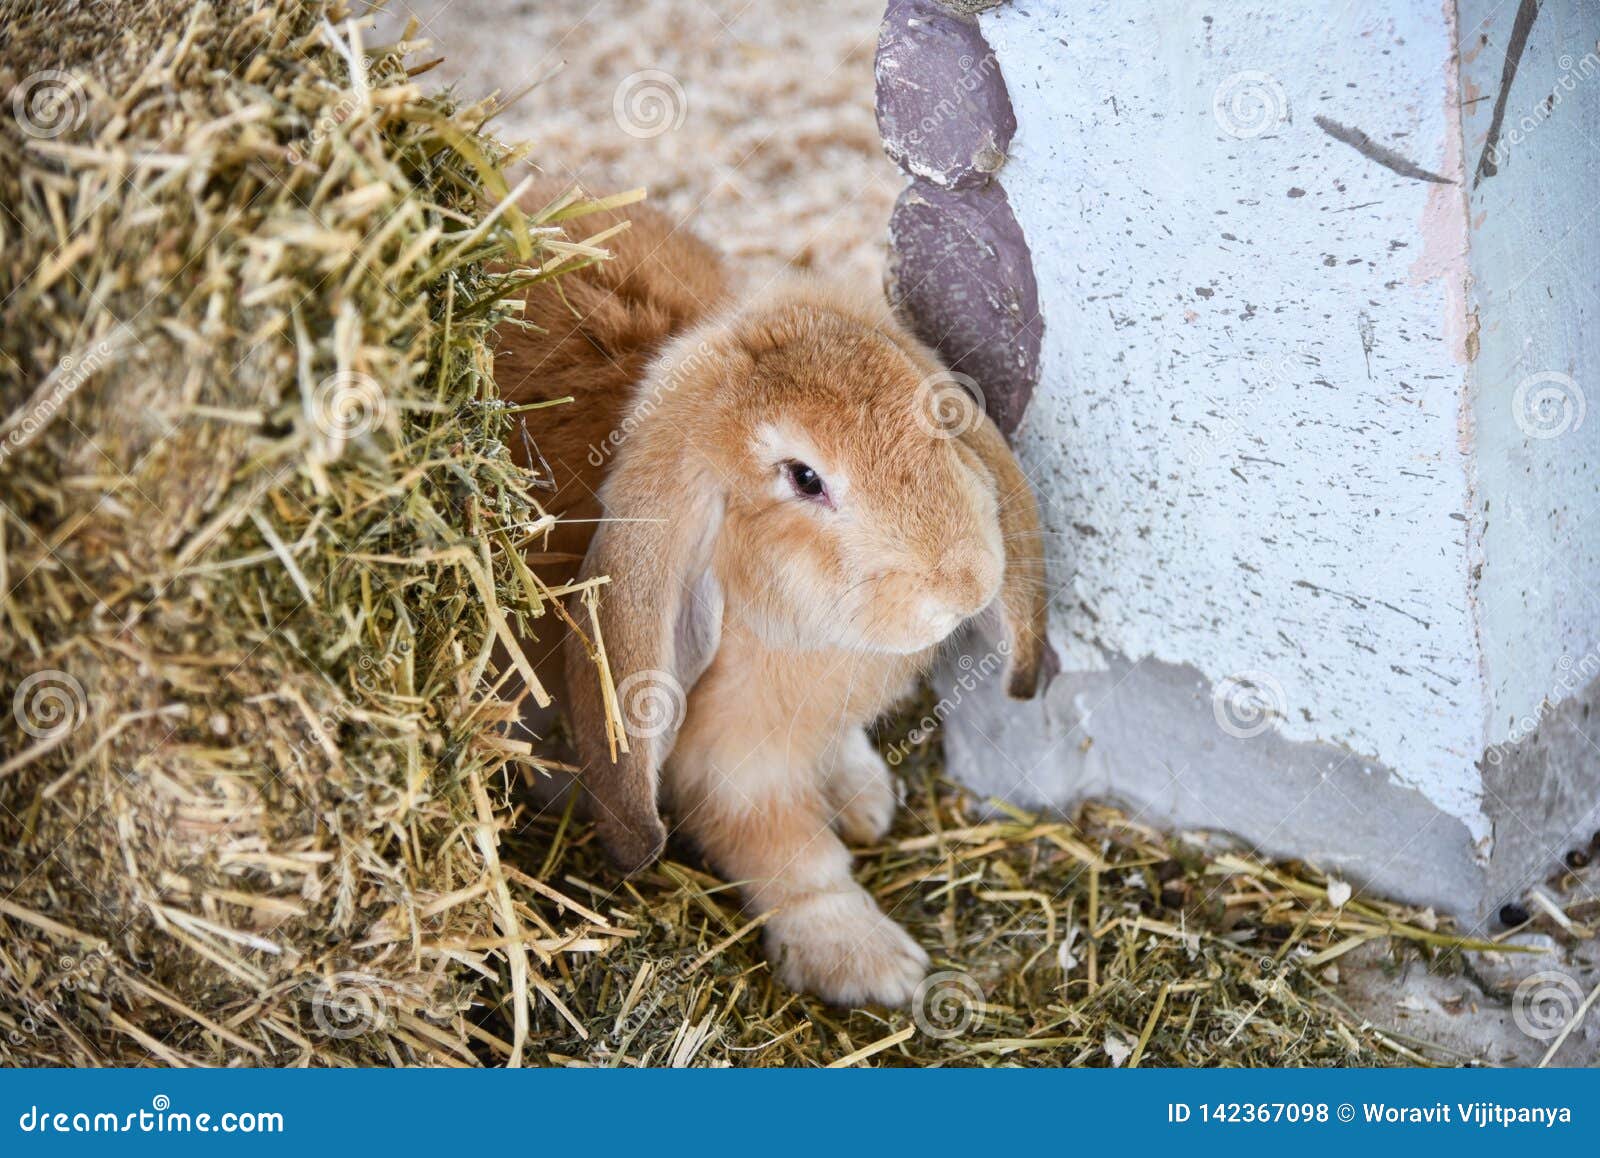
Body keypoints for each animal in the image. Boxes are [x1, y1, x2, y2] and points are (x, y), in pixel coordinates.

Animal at [495, 184, 1050, 1006]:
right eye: (805, 478)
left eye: (938, 418)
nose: (968, 582)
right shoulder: (734, 777)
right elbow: (794, 860)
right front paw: (873, 965)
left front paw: (865, 800)